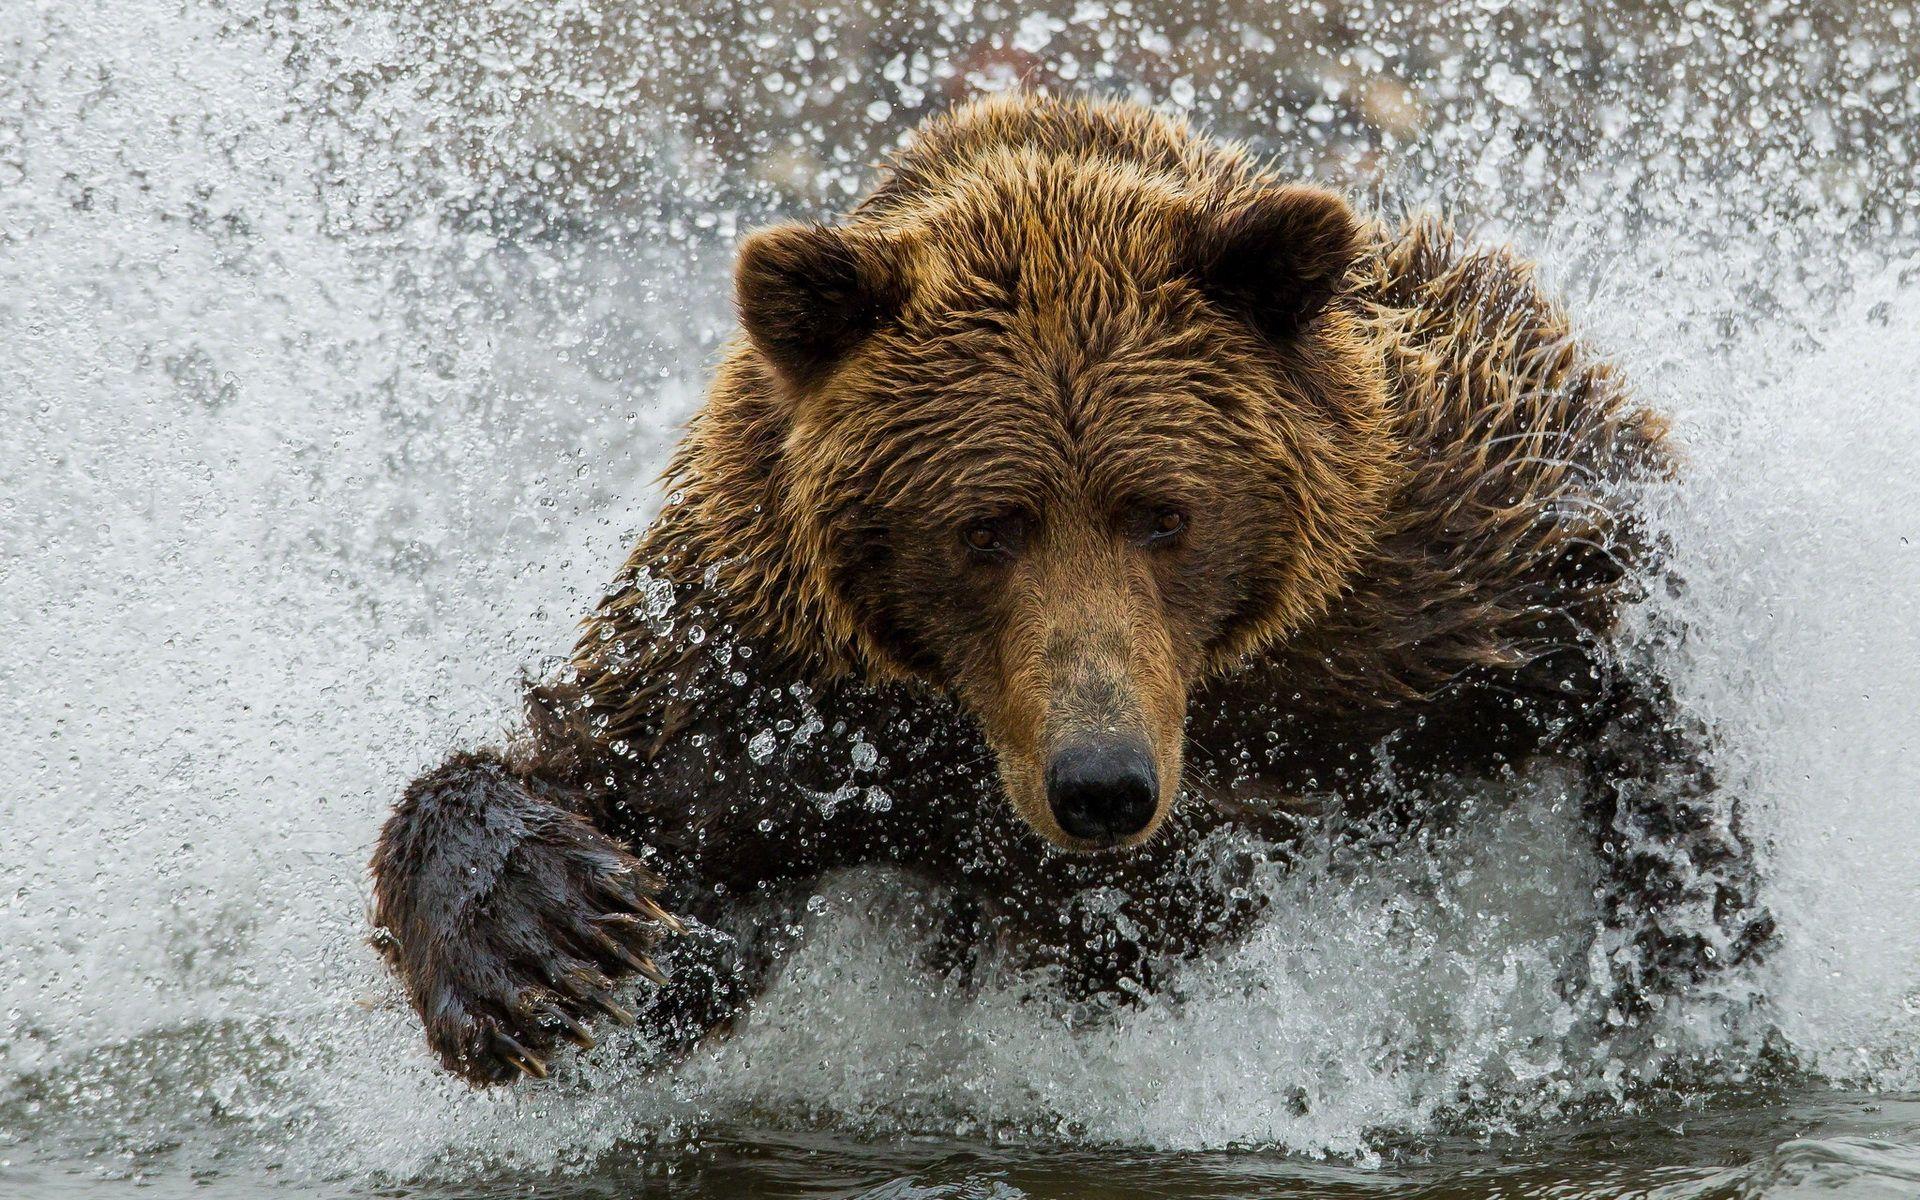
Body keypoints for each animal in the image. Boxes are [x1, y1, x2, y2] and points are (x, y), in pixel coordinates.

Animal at [370, 92, 1774, 1085]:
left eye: (1165, 513)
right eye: (986, 527)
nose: (1103, 783)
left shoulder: (1437, 555)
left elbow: (1624, 645)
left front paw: (1682, 944)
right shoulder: (775, 684)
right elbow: (623, 801)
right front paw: (544, 944)